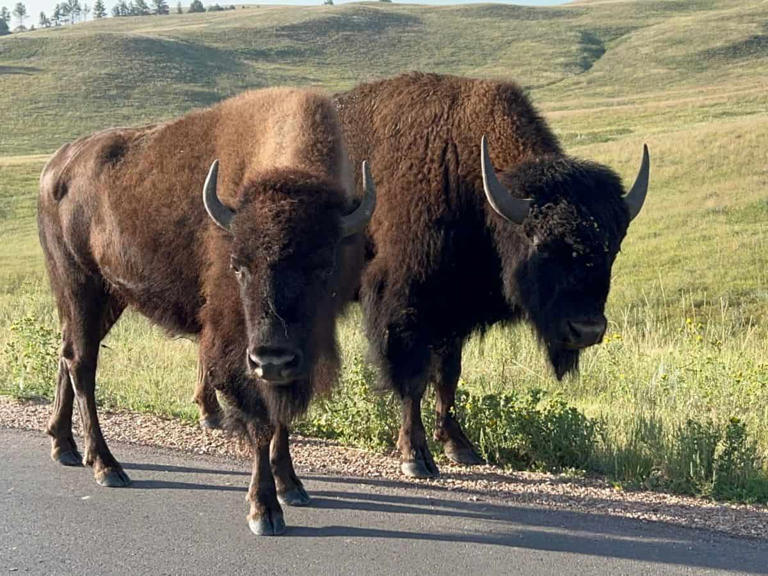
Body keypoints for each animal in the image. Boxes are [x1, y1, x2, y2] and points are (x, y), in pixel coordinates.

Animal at [37, 87, 376, 535]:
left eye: (322, 265)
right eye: (238, 265)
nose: (273, 357)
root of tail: (56, 166)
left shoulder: (293, 355)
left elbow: (281, 418)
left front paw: (292, 486)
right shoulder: (238, 348)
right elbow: (259, 420)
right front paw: (264, 510)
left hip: (106, 297)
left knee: (68, 354)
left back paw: (64, 447)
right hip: (80, 284)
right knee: (82, 364)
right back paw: (107, 467)